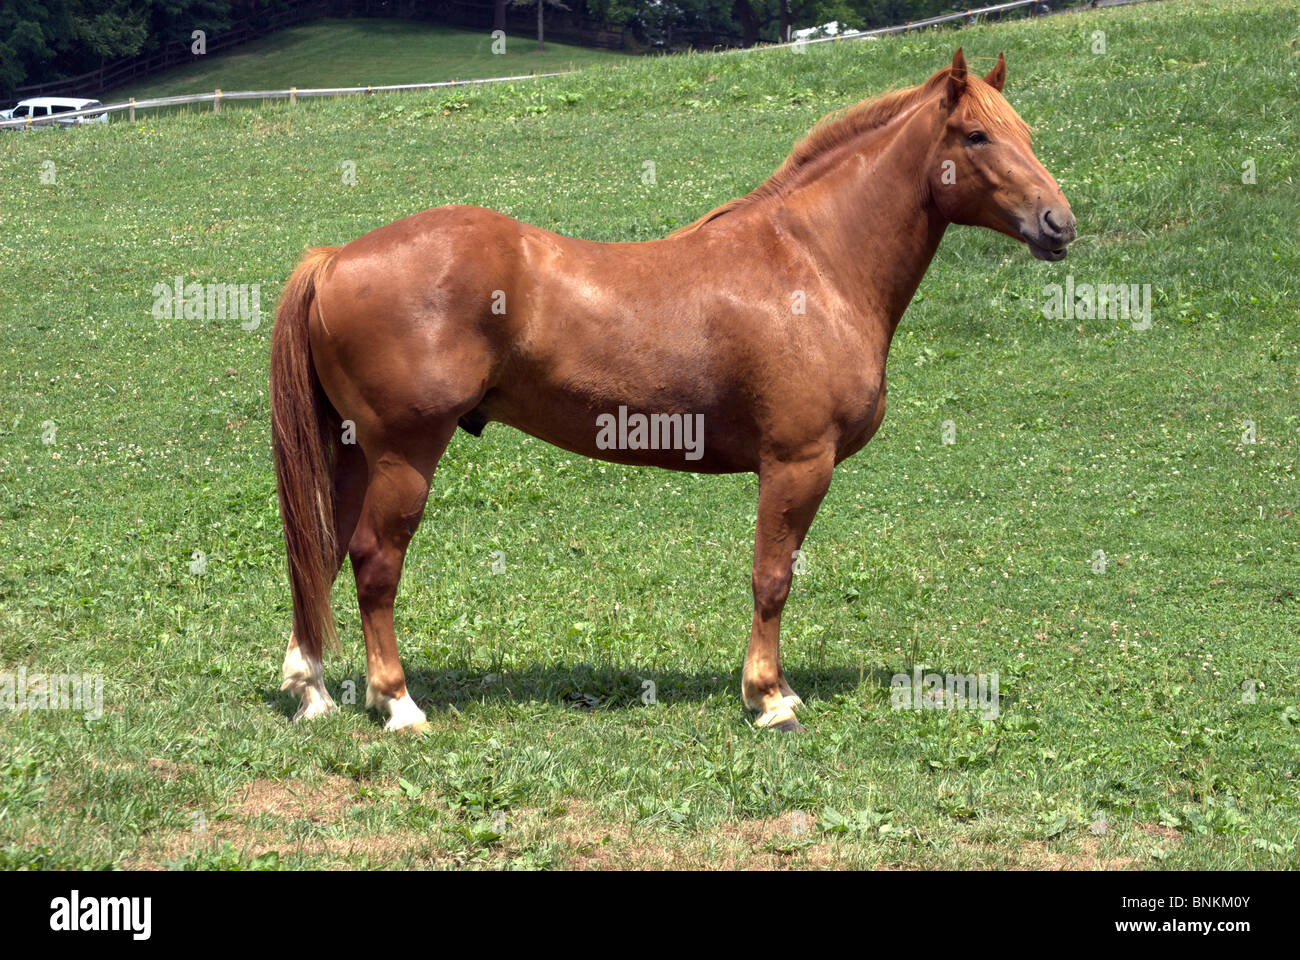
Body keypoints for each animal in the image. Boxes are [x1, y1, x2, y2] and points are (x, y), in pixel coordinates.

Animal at [270, 49, 1076, 733]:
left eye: (1025, 133)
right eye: (976, 135)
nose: (1058, 224)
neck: (812, 266)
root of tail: (334, 258)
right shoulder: (796, 463)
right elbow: (771, 578)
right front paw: (769, 699)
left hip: (353, 453)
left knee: (325, 552)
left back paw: (313, 689)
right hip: (405, 453)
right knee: (375, 561)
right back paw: (399, 703)